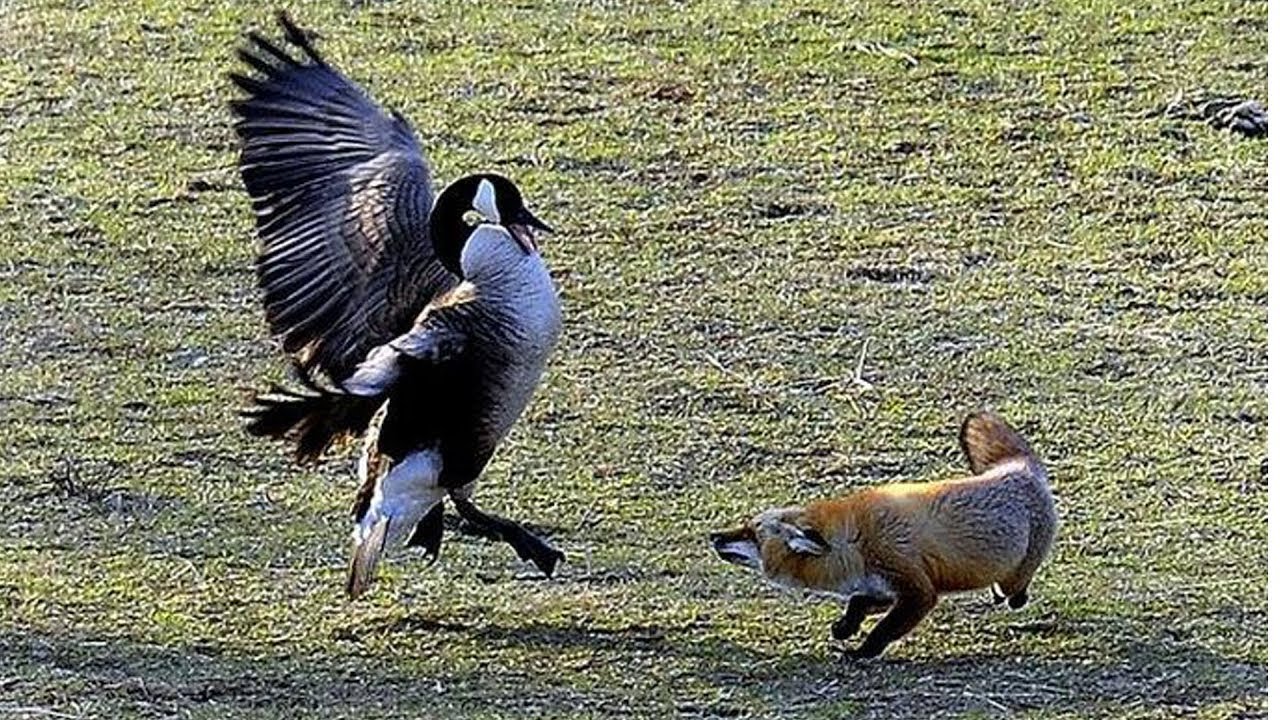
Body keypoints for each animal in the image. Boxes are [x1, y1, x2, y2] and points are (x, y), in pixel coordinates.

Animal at [710, 411, 1056, 660]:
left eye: (752, 533)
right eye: (746, 526)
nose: (714, 536)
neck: (855, 543)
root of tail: (1018, 466)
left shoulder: (918, 591)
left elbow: (882, 630)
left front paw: (862, 652)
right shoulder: (884, 587)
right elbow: (857, 602)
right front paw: (845, 627)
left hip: (1014, 575)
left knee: (1015, 590)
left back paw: (1013, 597)